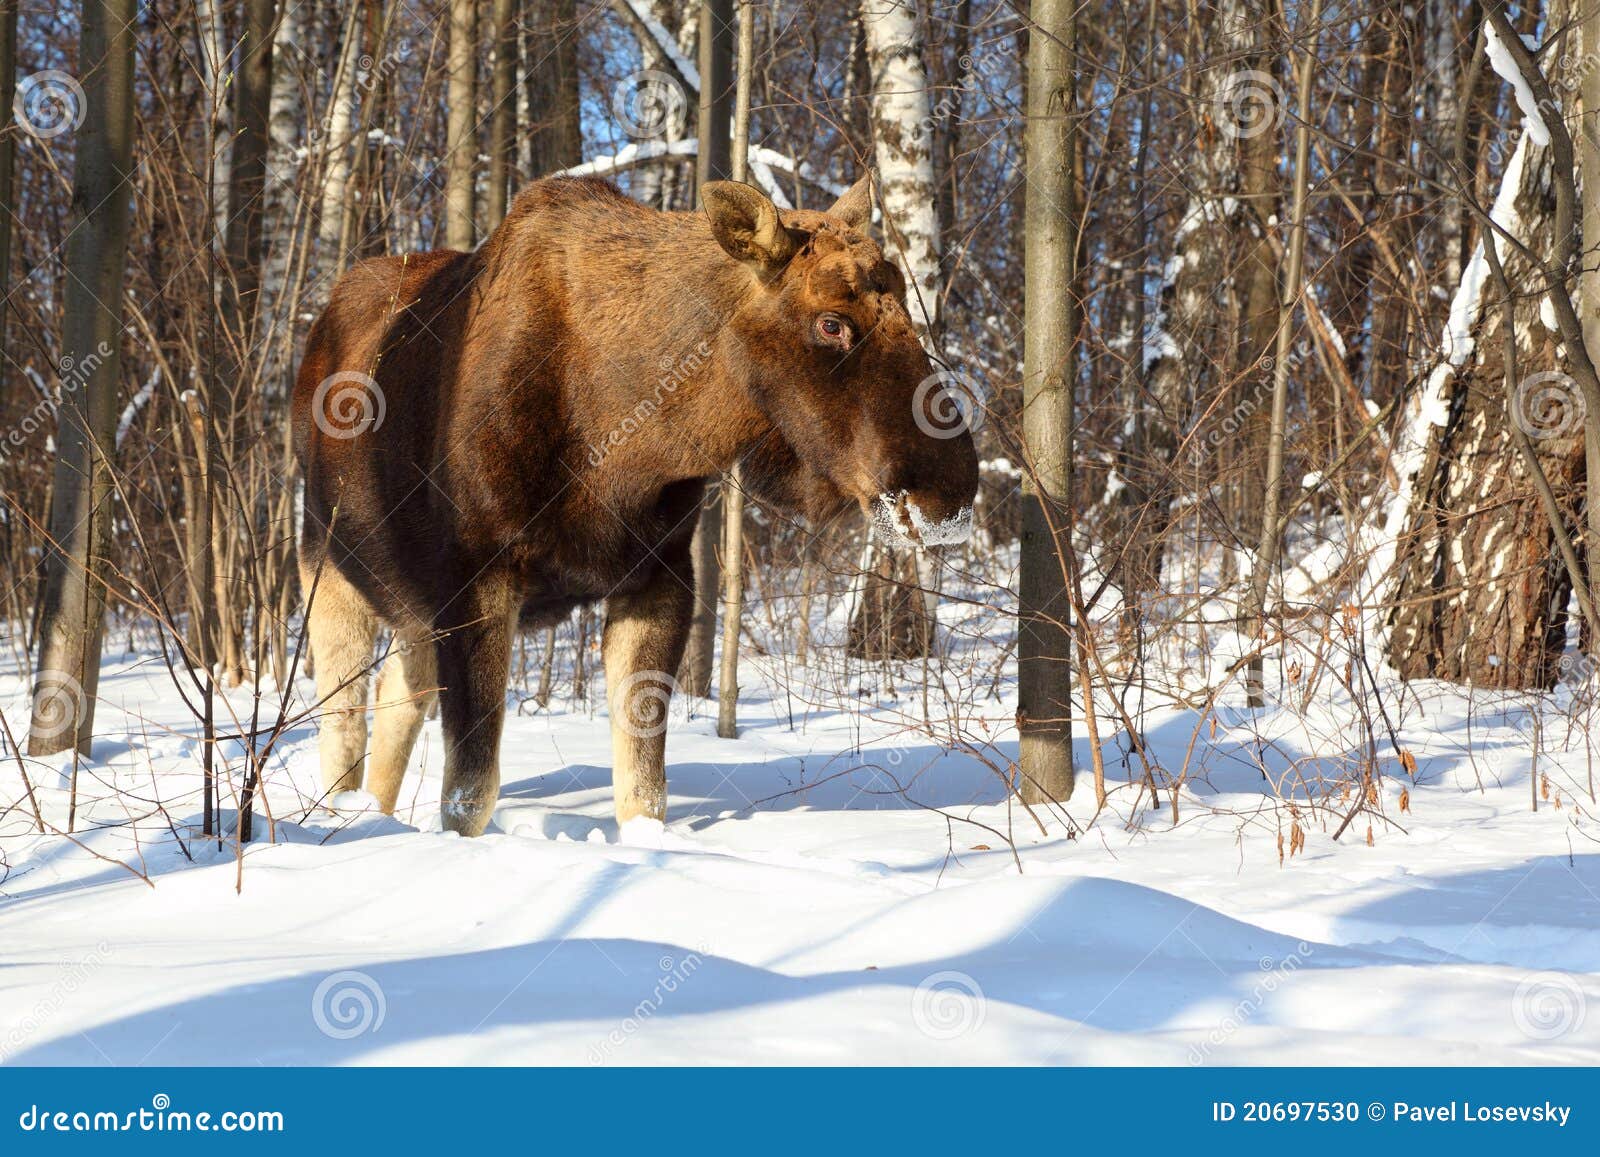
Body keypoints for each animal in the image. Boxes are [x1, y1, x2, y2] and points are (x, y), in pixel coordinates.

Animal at [292, 174, 979, 836]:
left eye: (906, 311)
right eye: (832, 322)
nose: (951, 494)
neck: (623, 440)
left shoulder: (659, 575)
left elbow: (645, 789)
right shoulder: (476, 578)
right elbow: (469, 793)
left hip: (410, 604)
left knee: (397, 697)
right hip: (326, 564)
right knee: (343, 725)